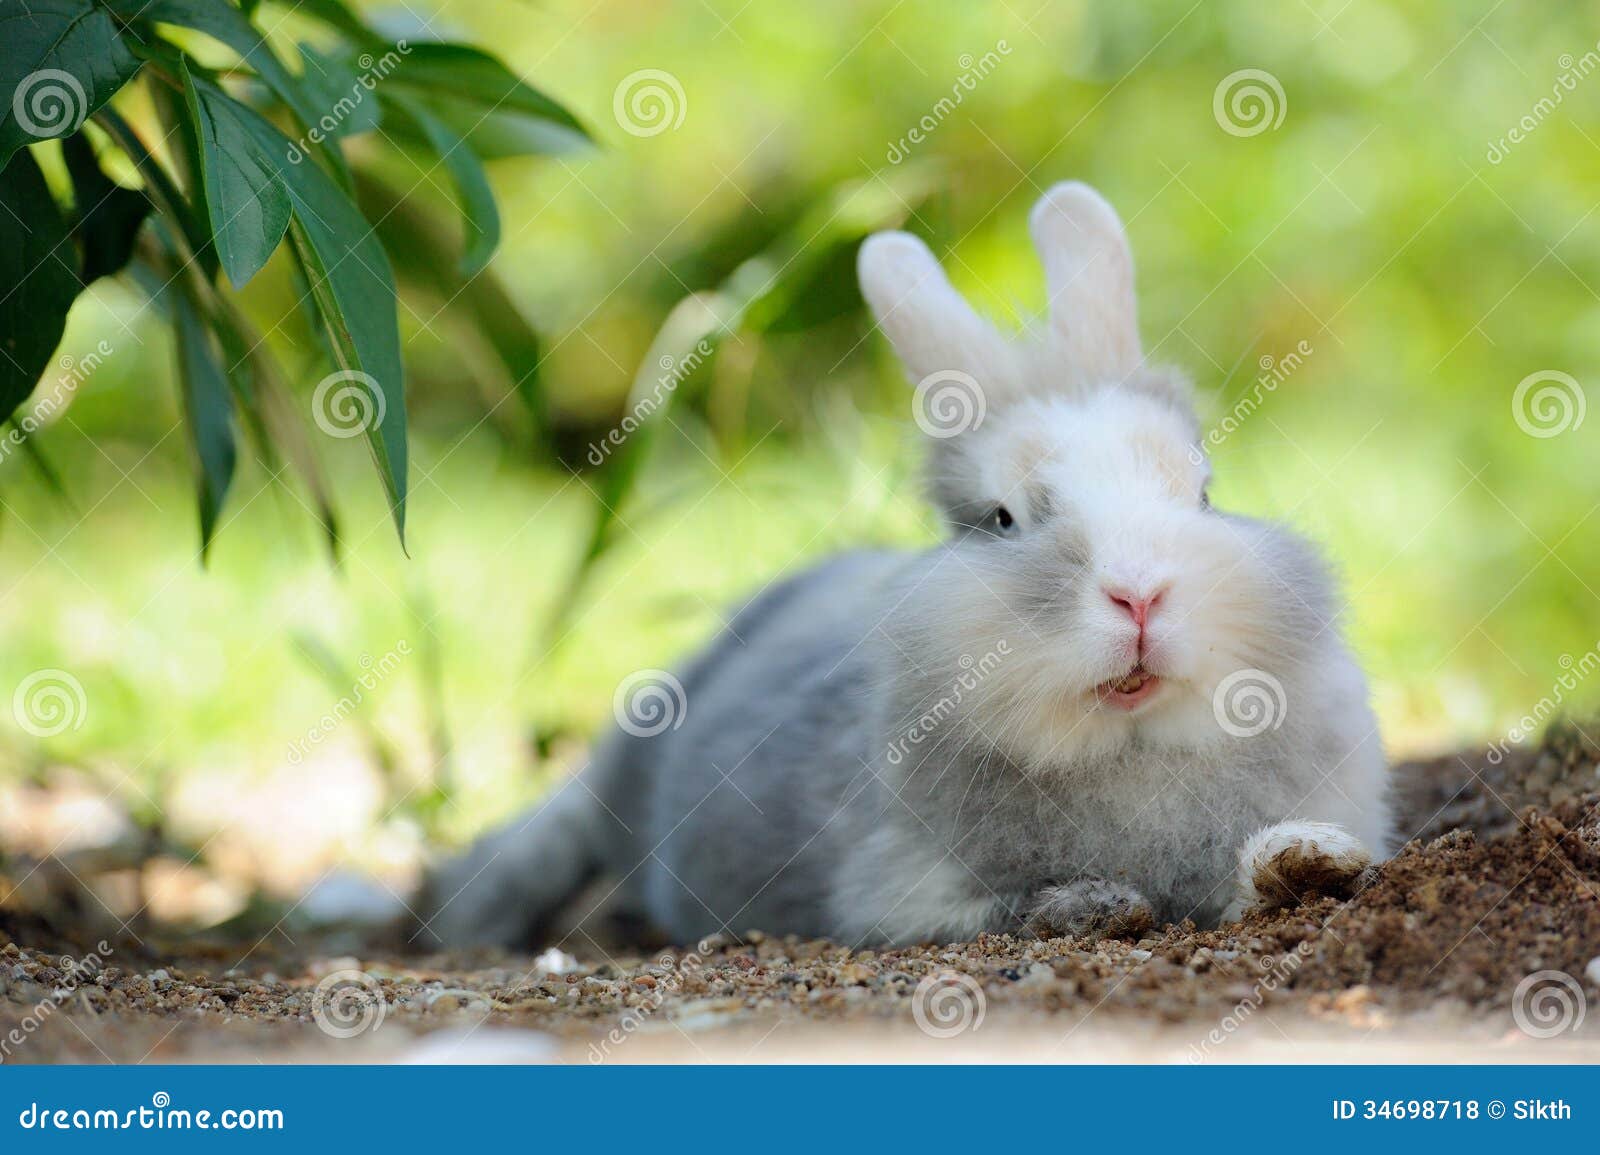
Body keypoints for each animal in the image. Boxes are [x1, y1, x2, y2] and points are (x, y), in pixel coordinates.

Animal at [417, 182, 1394, 951]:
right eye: (1002, 519)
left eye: (1203, 491)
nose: (1140, 593)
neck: (1132, 747)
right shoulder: (893, 893)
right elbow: (1007, 906)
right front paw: (1098, 902)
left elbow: (1258, 872)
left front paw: (1306, 861)